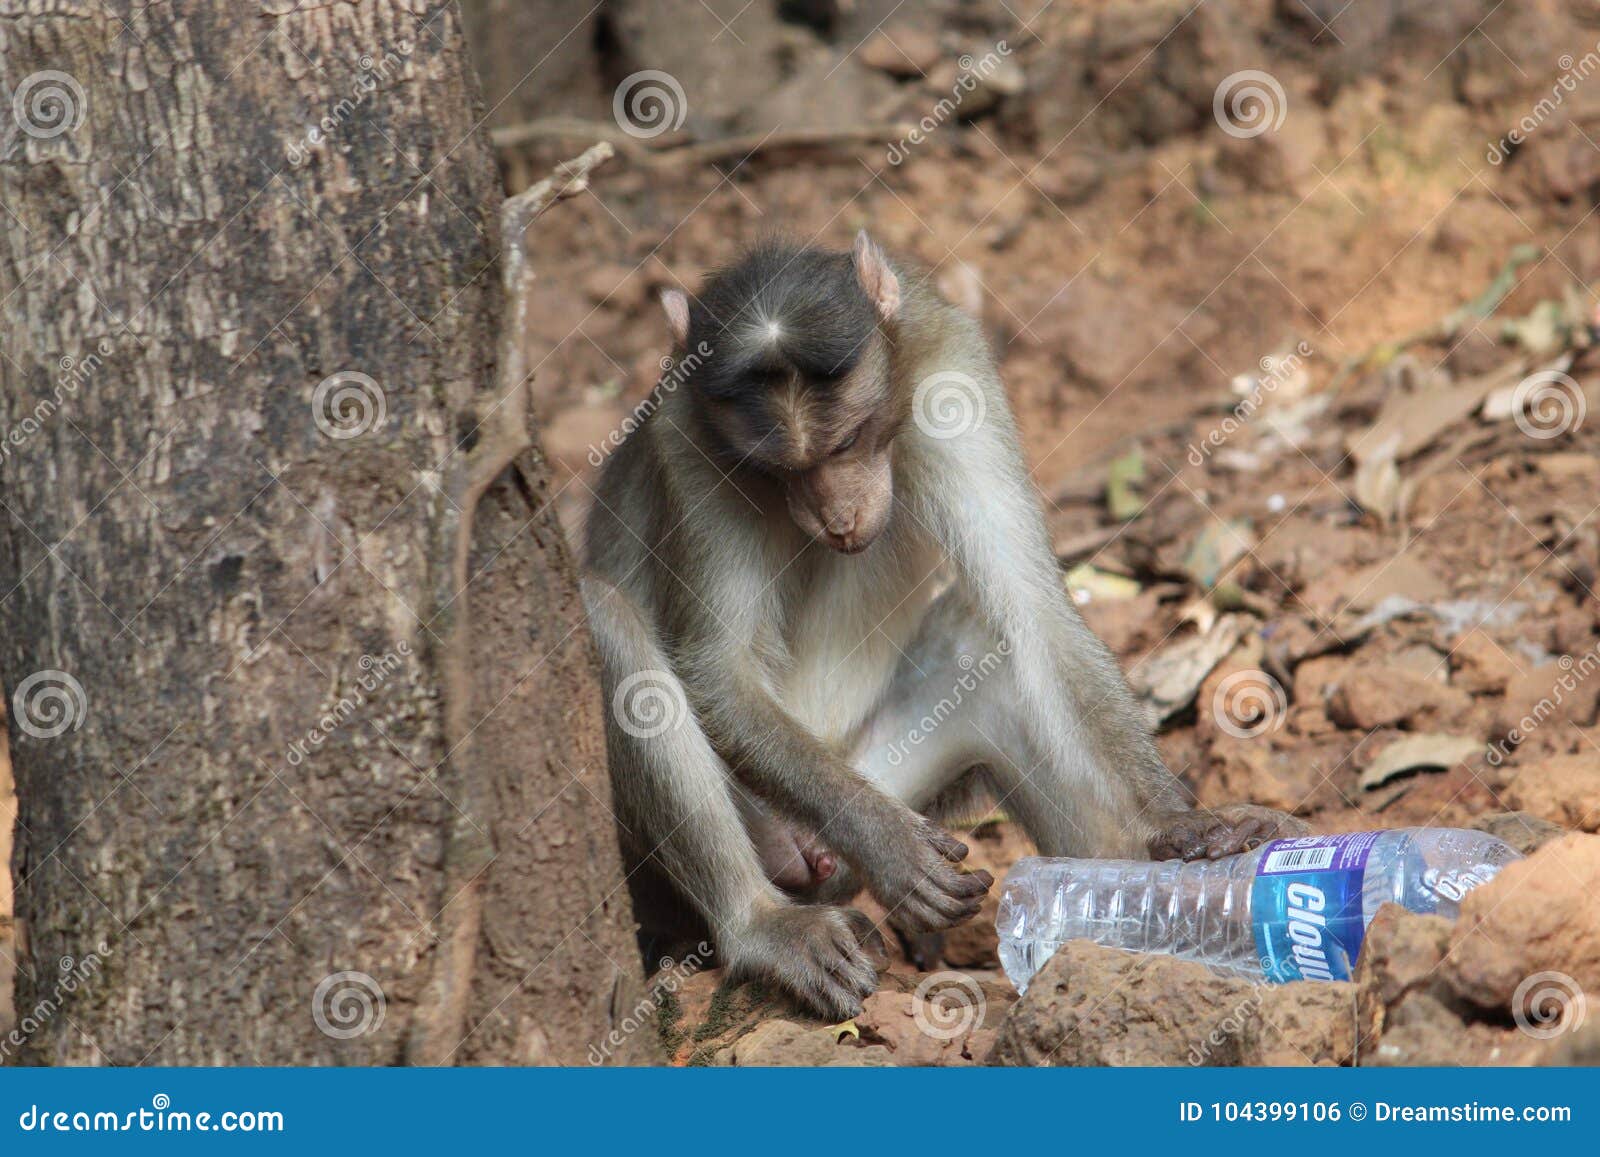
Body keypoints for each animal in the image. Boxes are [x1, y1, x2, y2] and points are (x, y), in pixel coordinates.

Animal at [579, 232, 1306, 1019]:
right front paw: (890, 846)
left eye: (848, 442)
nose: (837, 516)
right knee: (603, 616)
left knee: (986, 648)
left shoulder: (949, 366)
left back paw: (1150, 885)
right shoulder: (691, 445)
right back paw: (762, 925)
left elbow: (1032, 611)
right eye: (781, 469)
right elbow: (717, 671)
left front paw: (1178, 824)